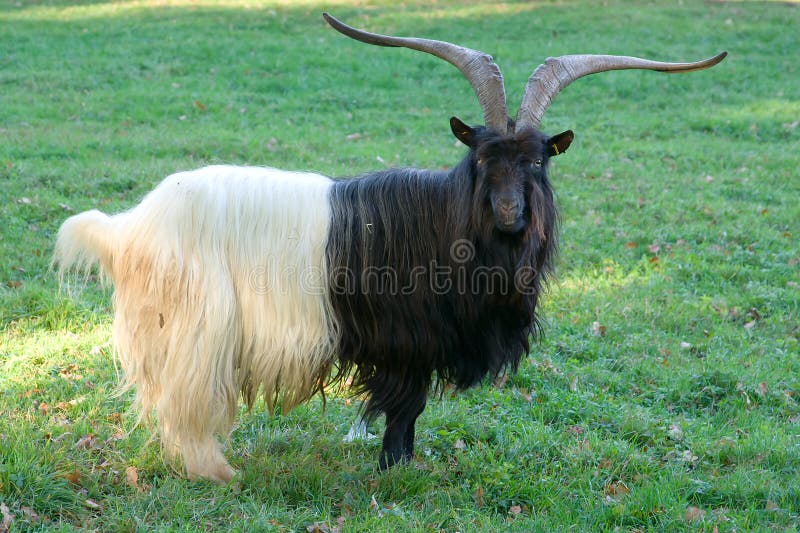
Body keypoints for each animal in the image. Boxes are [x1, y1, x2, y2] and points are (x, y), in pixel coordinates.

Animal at [54, 13, 726, 482]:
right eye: (482, 159)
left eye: (537, 162)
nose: (511, 214)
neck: (446, 226)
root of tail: (131, 225)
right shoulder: (405, 342)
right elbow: (405, 409)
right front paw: (394, 471)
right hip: (198, 325)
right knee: (184, 403)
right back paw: (218, 472)